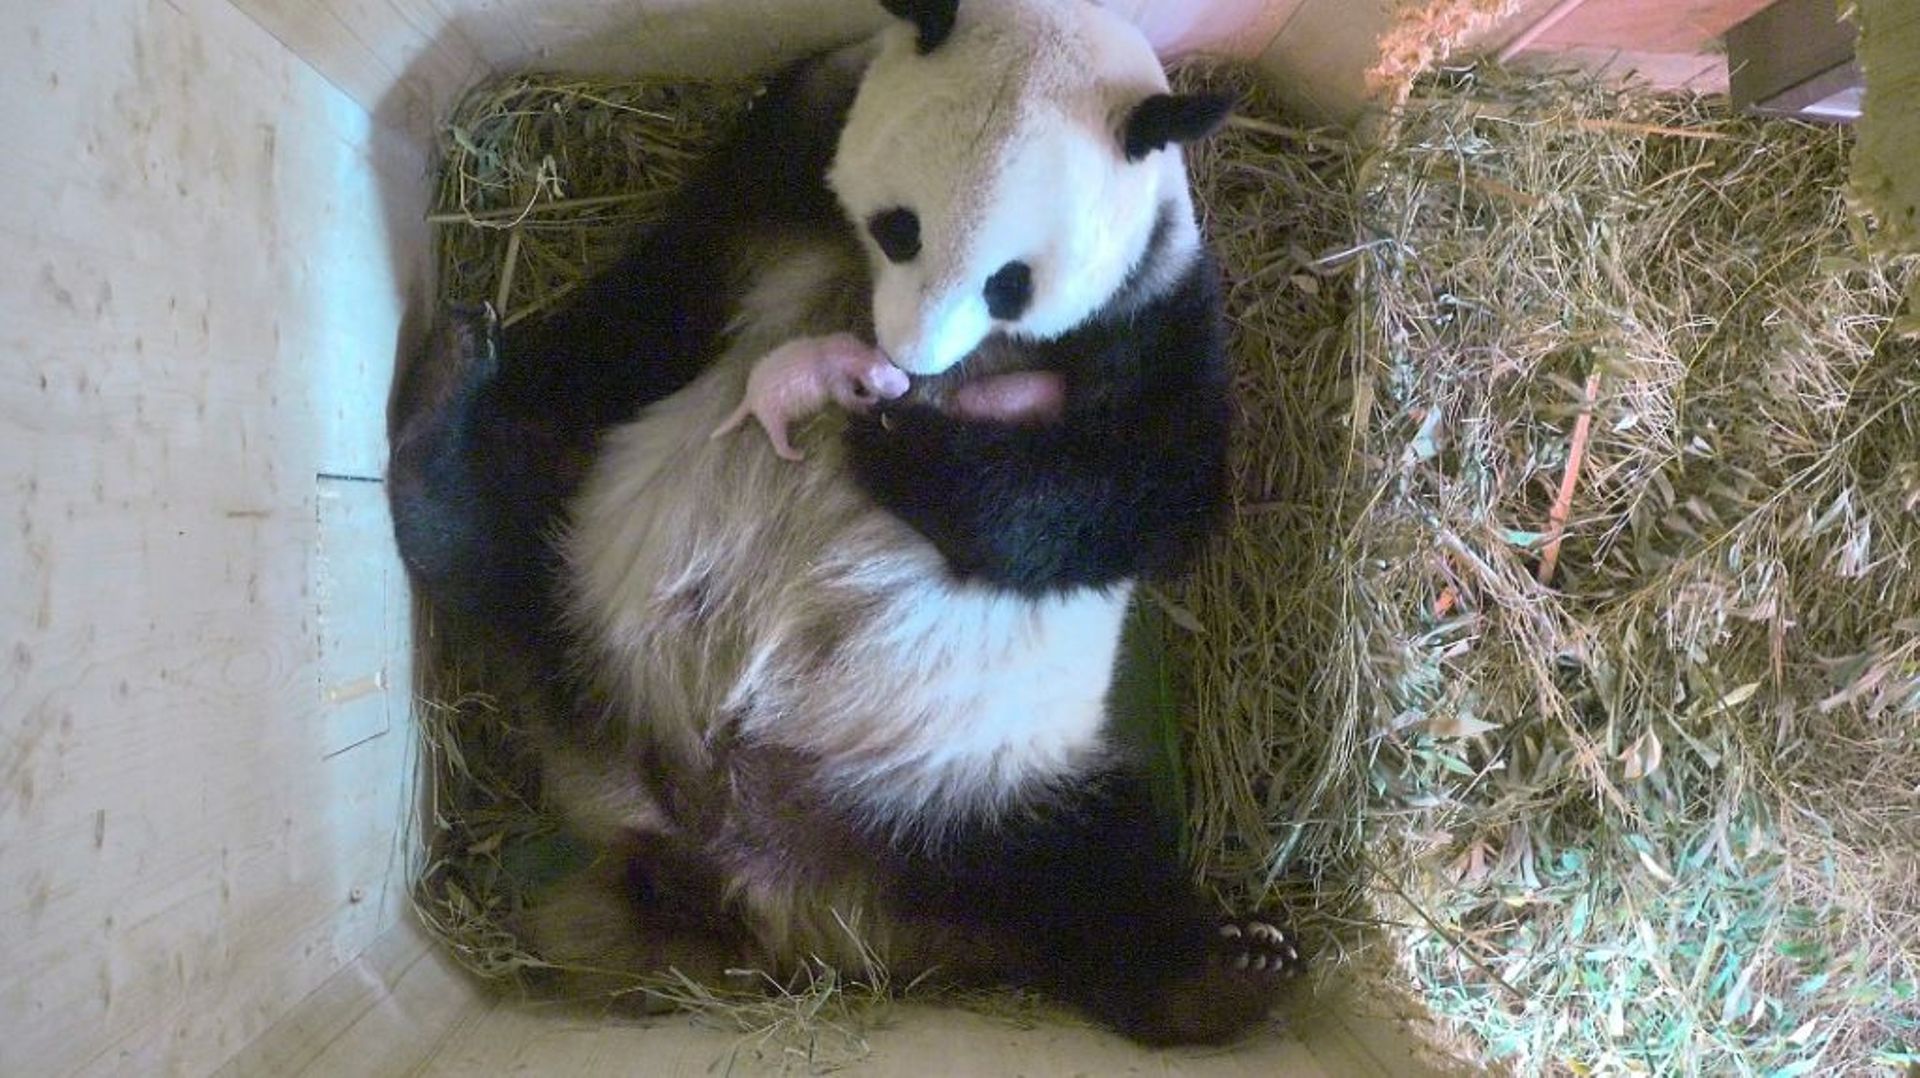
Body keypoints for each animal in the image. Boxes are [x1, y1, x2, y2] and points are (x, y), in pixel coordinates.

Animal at [388, 0, 1304, 1047]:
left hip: (971, 786)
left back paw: (1221, 970)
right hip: (592, 580)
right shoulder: (784, 156)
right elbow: (659, 297)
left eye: (1012, 282)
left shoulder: (1157, 307)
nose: (905, 361)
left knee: (1091, 886)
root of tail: (733, 865)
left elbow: (1148, 489)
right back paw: (449, 401)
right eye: (900, 229)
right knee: (502, 538)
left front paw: (900, 445)